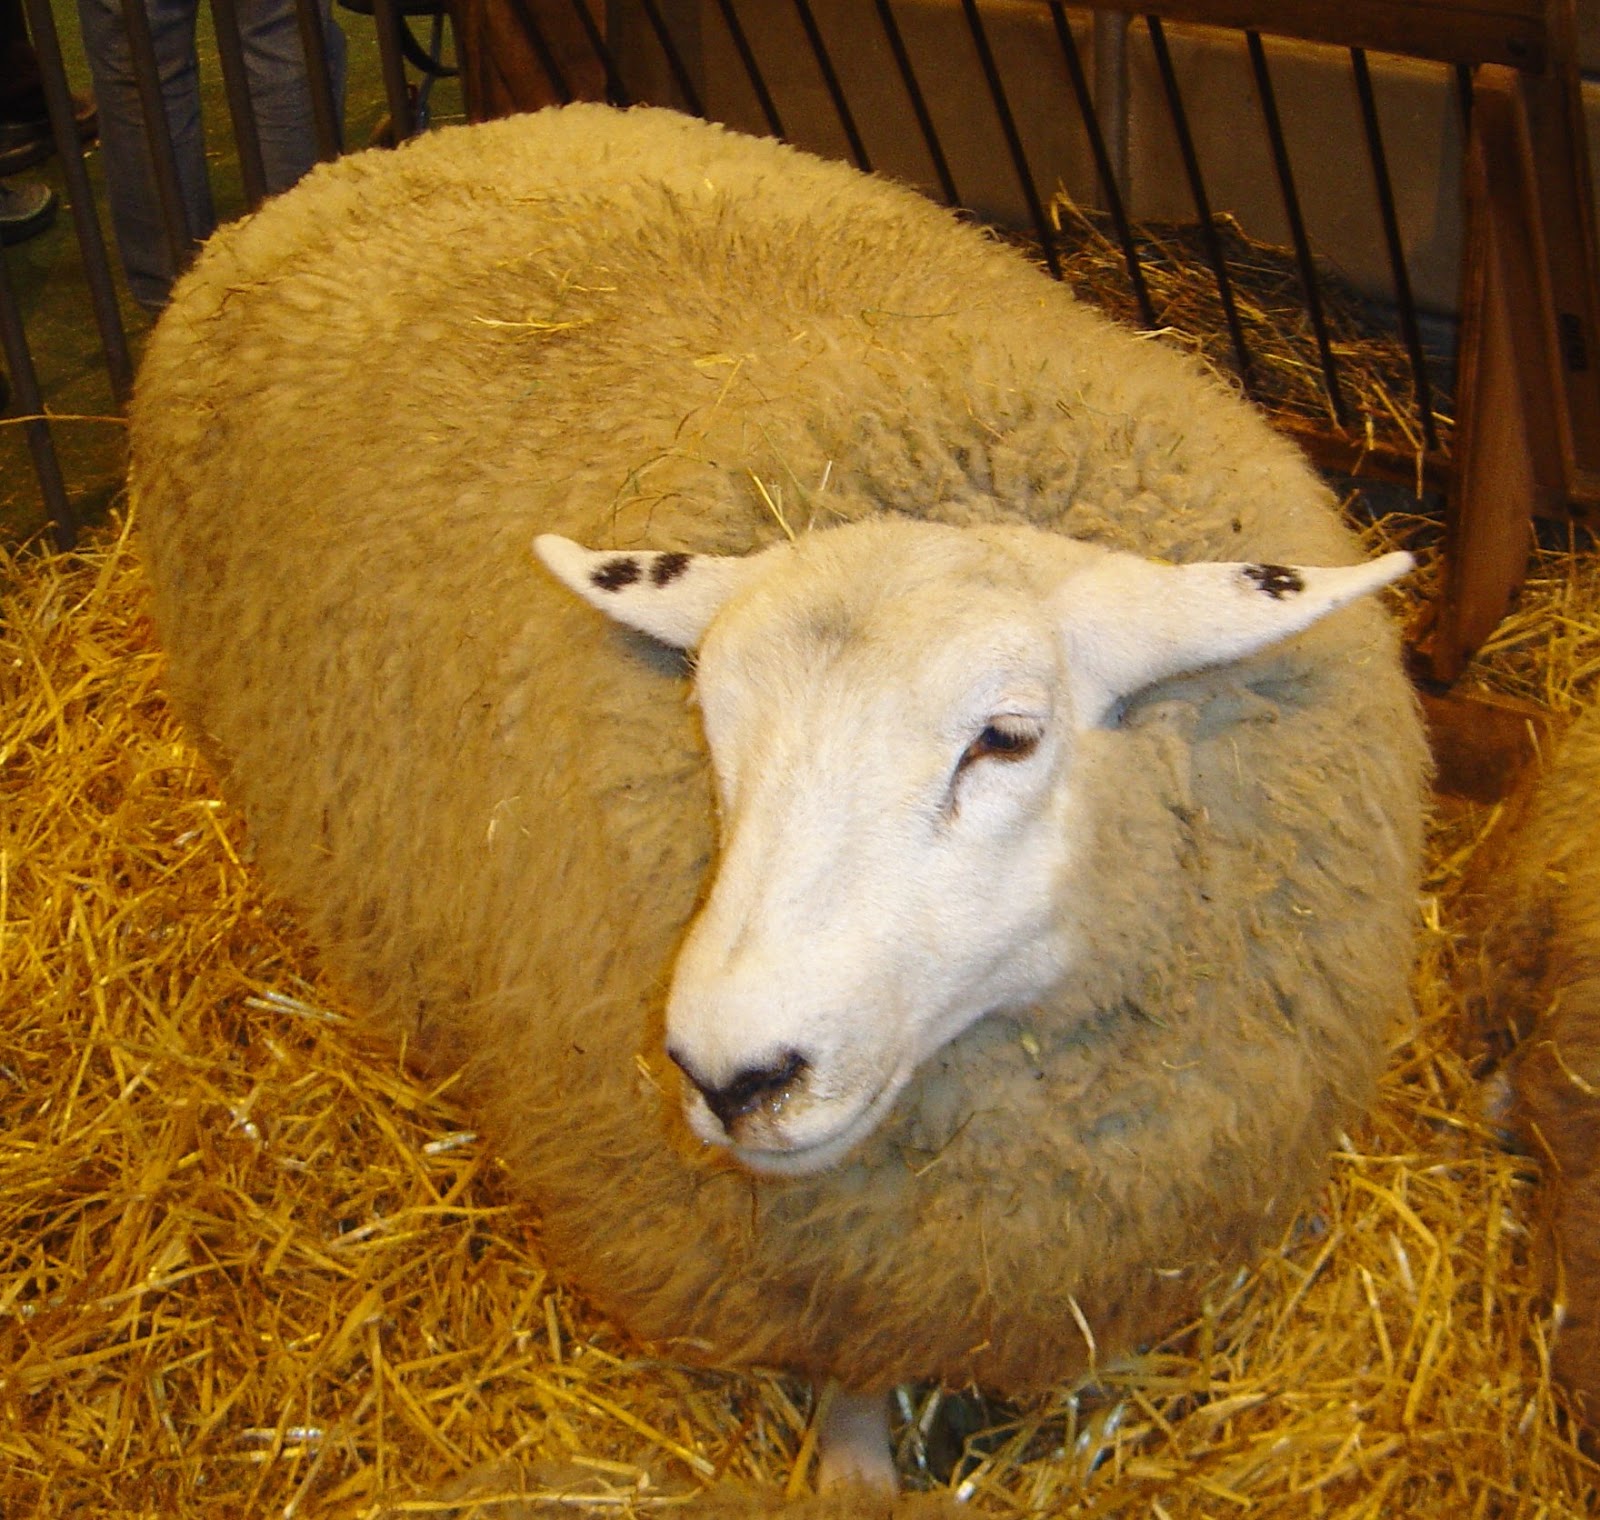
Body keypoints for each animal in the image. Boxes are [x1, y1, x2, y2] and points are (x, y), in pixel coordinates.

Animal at [131, 103, 1428, 1489]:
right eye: (711, 721)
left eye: (1006, 737)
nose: (730, 1071)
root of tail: (389, 153)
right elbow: (850, 1398)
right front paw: (857, 1472)